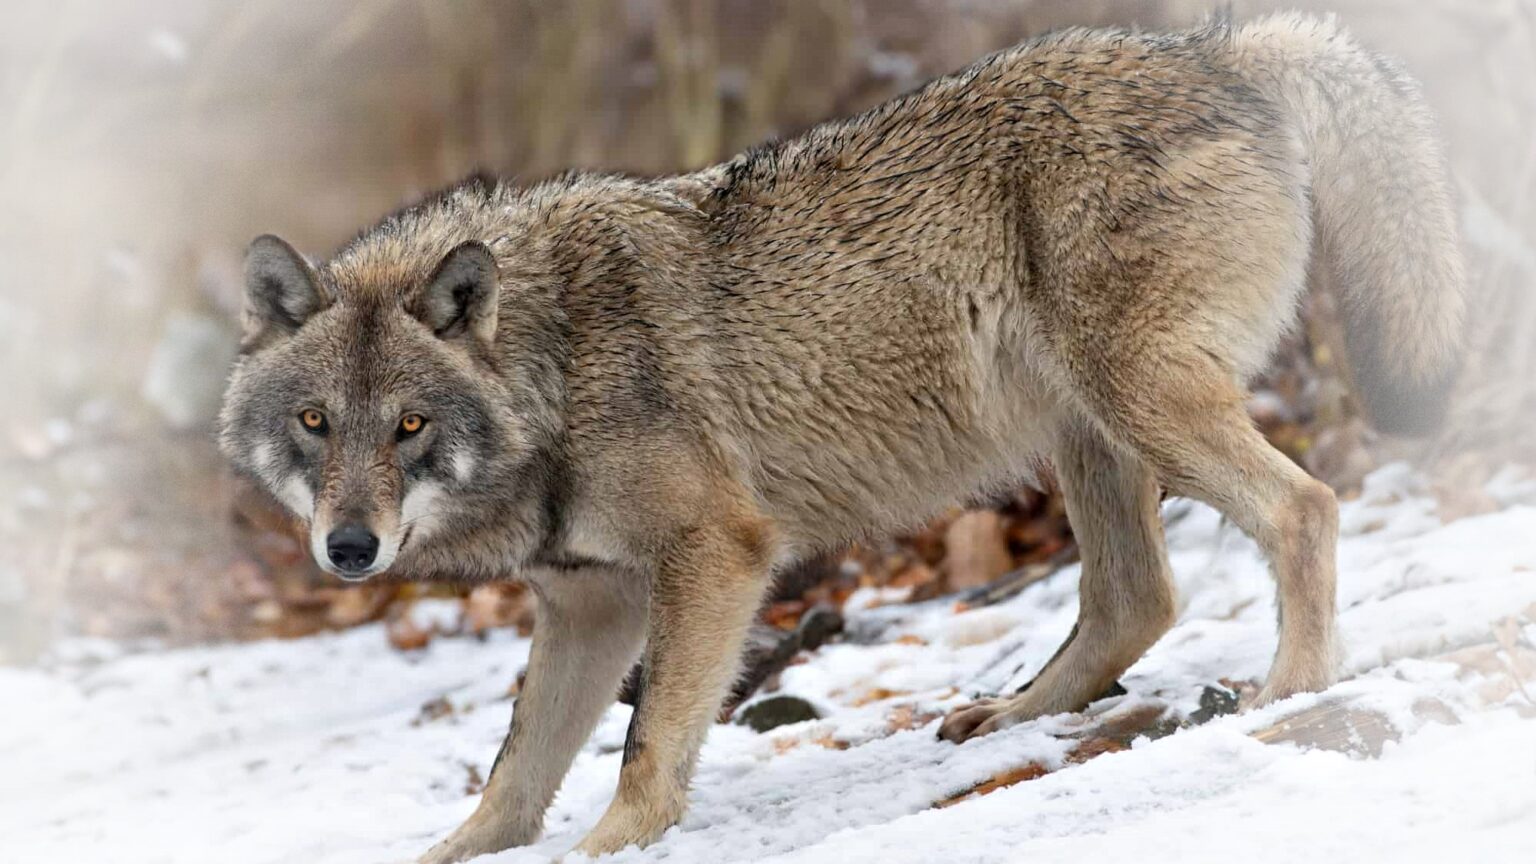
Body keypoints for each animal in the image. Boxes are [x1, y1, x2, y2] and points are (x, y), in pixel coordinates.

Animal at [218, 12, 1464, 861]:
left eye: (411, 426)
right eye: (317, 424)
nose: (348, 550)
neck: (553, 362)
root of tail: (1218, 50)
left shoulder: (715, 557)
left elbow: (646, 742)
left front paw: (616, 842)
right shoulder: (587, 602)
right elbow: (512, 775)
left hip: (1141, 409)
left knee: (1304, 508)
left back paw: (1290, 696)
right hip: (1091, 434)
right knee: (1136, 600)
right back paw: (1014, 716)